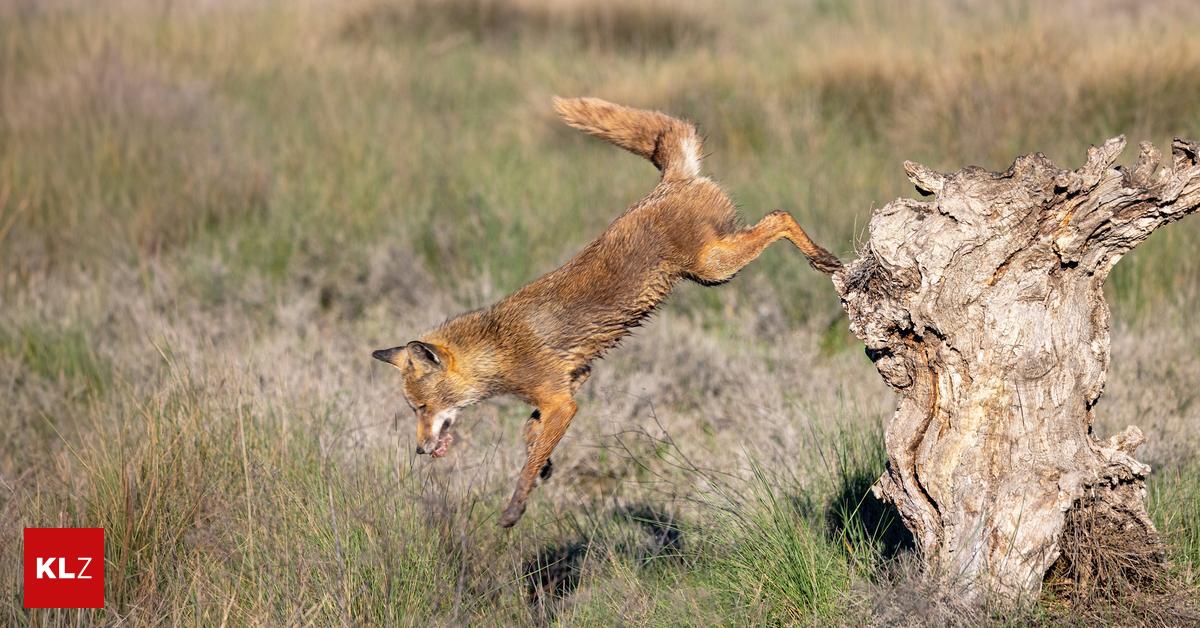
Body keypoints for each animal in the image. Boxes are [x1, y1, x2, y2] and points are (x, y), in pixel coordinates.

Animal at [373, 97, 841, 527]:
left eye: (421, 408)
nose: (419, 449)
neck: (499, 345)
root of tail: (672, 180)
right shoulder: (574, 378)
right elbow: (530, 434)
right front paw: (543, 464)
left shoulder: (561, 401)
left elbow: (527, 458)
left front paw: (516, 505)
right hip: (713, 269)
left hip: (715, 268)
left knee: (779, 215)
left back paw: (822, 258)